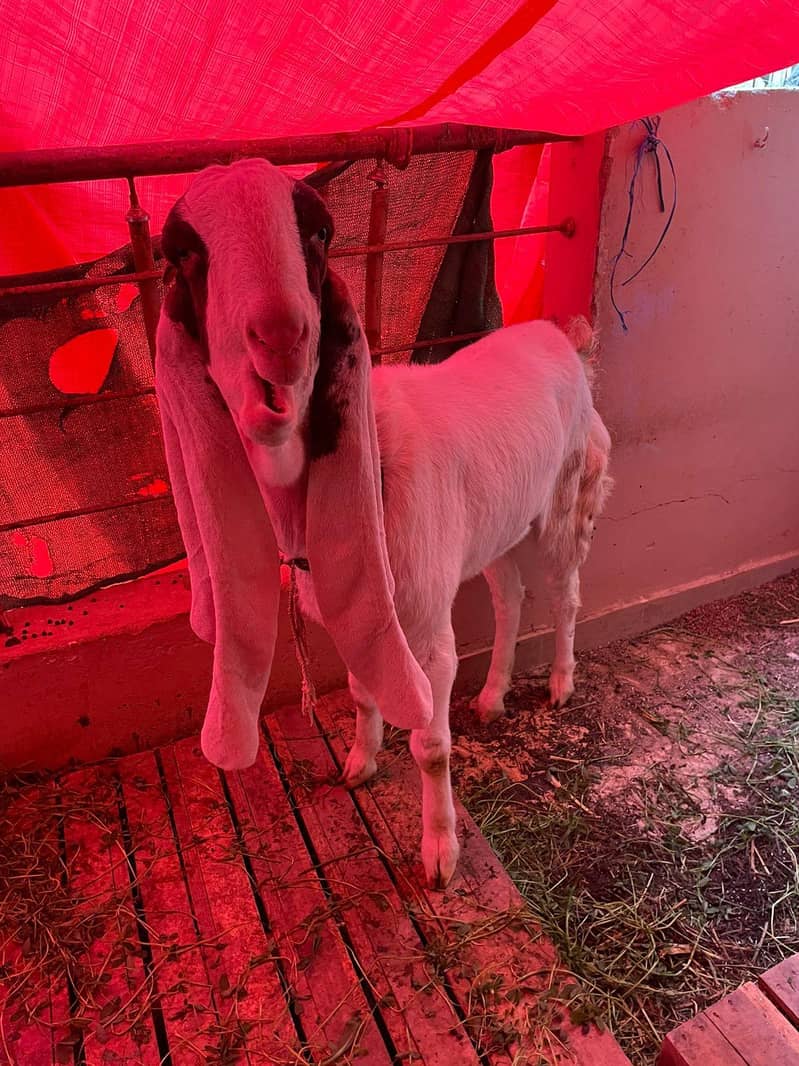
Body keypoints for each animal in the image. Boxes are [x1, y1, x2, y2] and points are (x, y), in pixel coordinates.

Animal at [155, 158, 612, 889]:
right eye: (182, 253)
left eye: (320, 232)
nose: (280, 338)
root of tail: (561, 336)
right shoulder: (357, 613)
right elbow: (364, 694)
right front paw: (359, 764)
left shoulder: (422, 627)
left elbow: (430, 744)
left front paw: (440, 856)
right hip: (491, 525)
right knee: (510, 596)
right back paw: (492, 695)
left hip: (568, 500)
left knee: (565, 594)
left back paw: (561, 685)